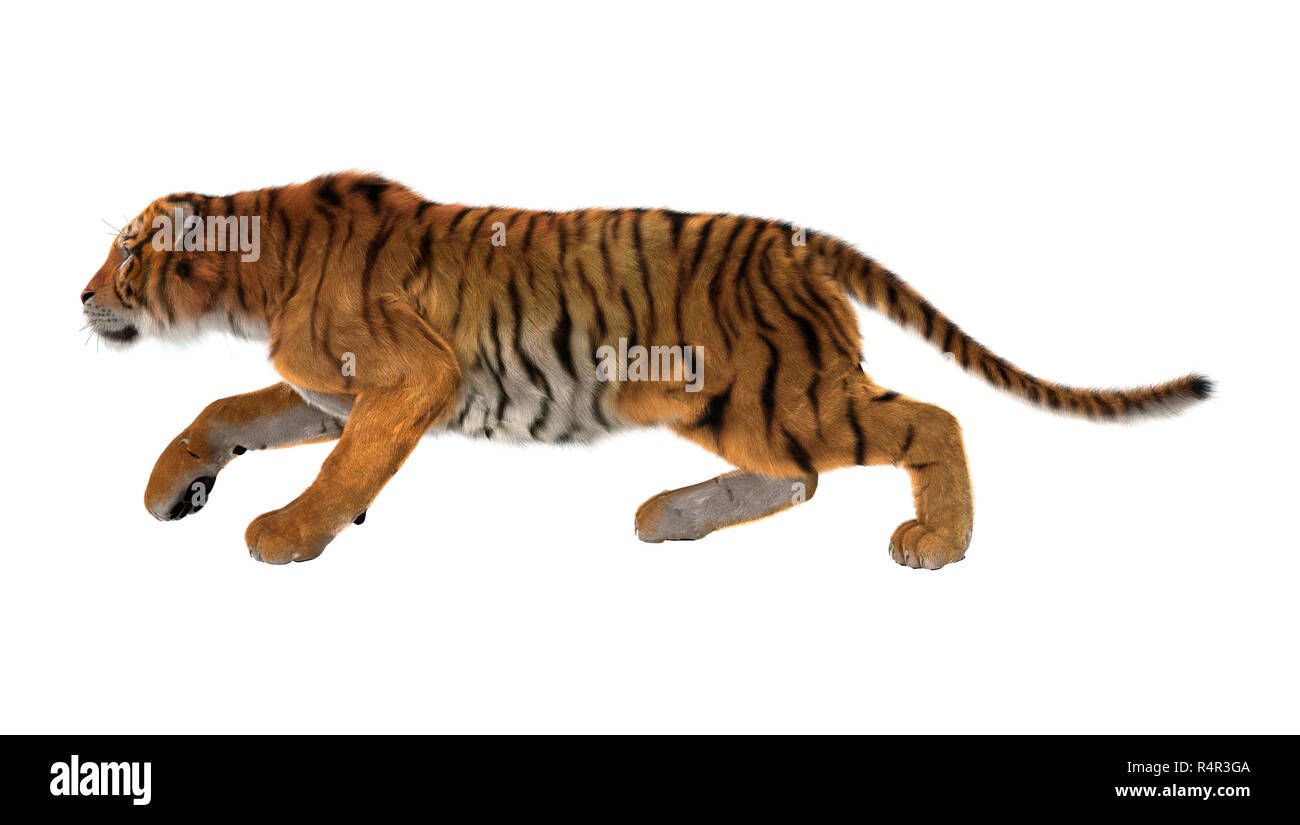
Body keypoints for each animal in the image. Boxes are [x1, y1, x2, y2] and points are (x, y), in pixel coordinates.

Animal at [81, 171, 1212, 568]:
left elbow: (335, 467)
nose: (81, 296)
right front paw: (172, 489)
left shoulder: (404, 379)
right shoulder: (332, 393)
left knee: (929, 423)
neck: (255, 279)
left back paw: (937, 542)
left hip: (771, 389)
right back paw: (672, 517)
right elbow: (225, 408)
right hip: (737, 397)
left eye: (128, 253)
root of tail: (796, 242)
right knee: (797, 476)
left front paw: (288, 535)